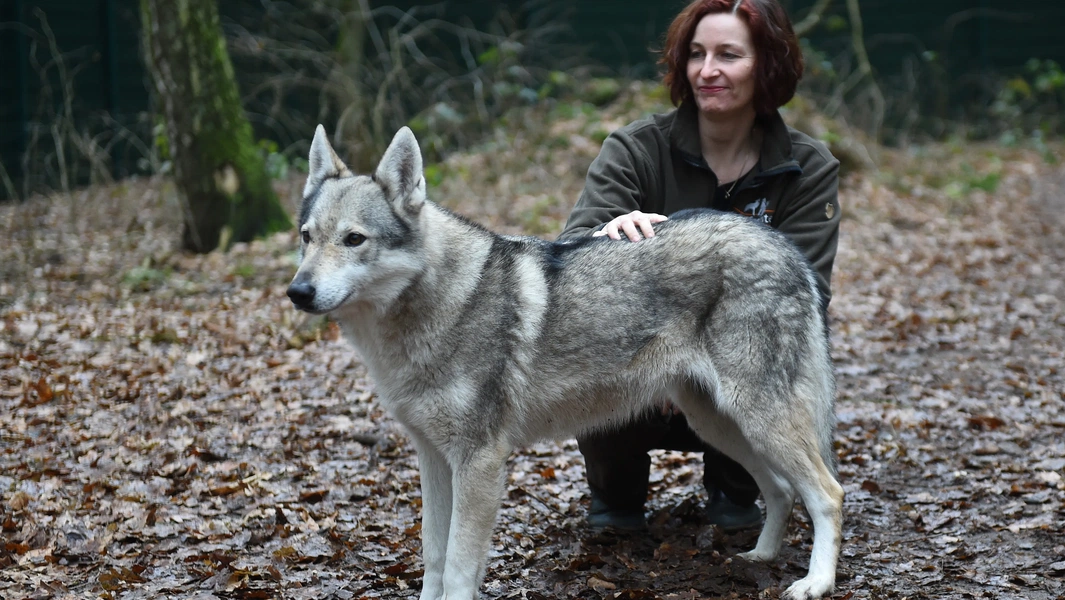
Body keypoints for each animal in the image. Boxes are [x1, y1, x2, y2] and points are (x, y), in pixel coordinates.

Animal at [286, 125, 844, 600]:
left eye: (354, 239)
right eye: (306, 237)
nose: (297, 292)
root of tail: (783, 246)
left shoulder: (479, 463)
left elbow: (460, 568)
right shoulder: (433, 460)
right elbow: (433, 556)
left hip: (757, 420)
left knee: (828, 494)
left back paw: (815, 583)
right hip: (721, 424)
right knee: (780, 490)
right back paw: (760, 557)